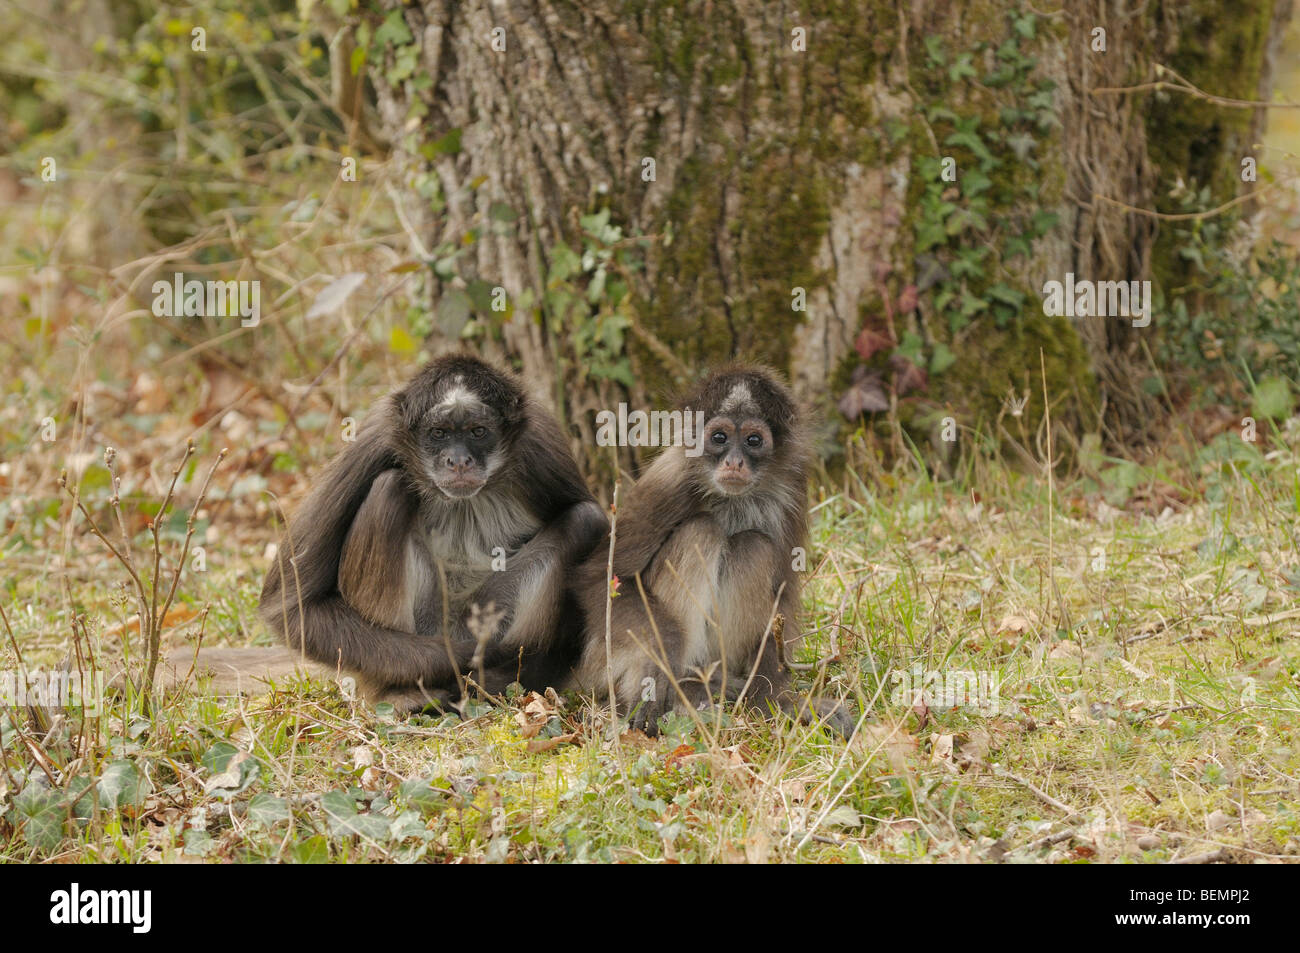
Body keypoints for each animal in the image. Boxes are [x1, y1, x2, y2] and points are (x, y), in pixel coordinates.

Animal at [250, 354, 608, 711]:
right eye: (439, 433)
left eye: (478, 431)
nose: (459, 460)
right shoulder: (374, 438)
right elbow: (291, 608)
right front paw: (478, 657)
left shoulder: (540, 441)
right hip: (423, 628)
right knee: (389, 488)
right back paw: (400, 692)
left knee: (586, 520)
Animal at [570, 365, 853, 736]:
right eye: (719, 438)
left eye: (753, 440)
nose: (734, 462)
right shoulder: (671, 477)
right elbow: (600, 578)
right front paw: (656, 674)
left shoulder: (793, 483)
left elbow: (786, 596)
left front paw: (778, 702)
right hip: (606, 654)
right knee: (702, 528)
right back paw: (682, 687)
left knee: (754, 545)